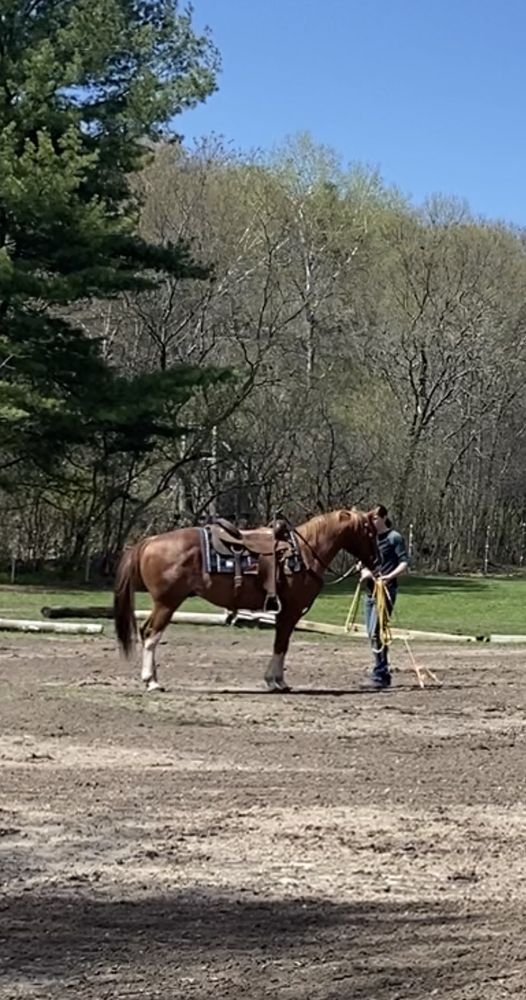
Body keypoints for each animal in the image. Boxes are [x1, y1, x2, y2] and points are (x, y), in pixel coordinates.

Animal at [113, 508, 379, 693]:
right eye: (369, 531)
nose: (375, 561)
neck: (303, 553)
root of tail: (149, 541)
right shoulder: (290, 611)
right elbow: (281, 645)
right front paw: (275, 681)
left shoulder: (284, 612)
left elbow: (281, 644)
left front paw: (277, 680)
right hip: (167, 603)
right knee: (151, 634)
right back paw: (151, 682)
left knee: (147, 632)